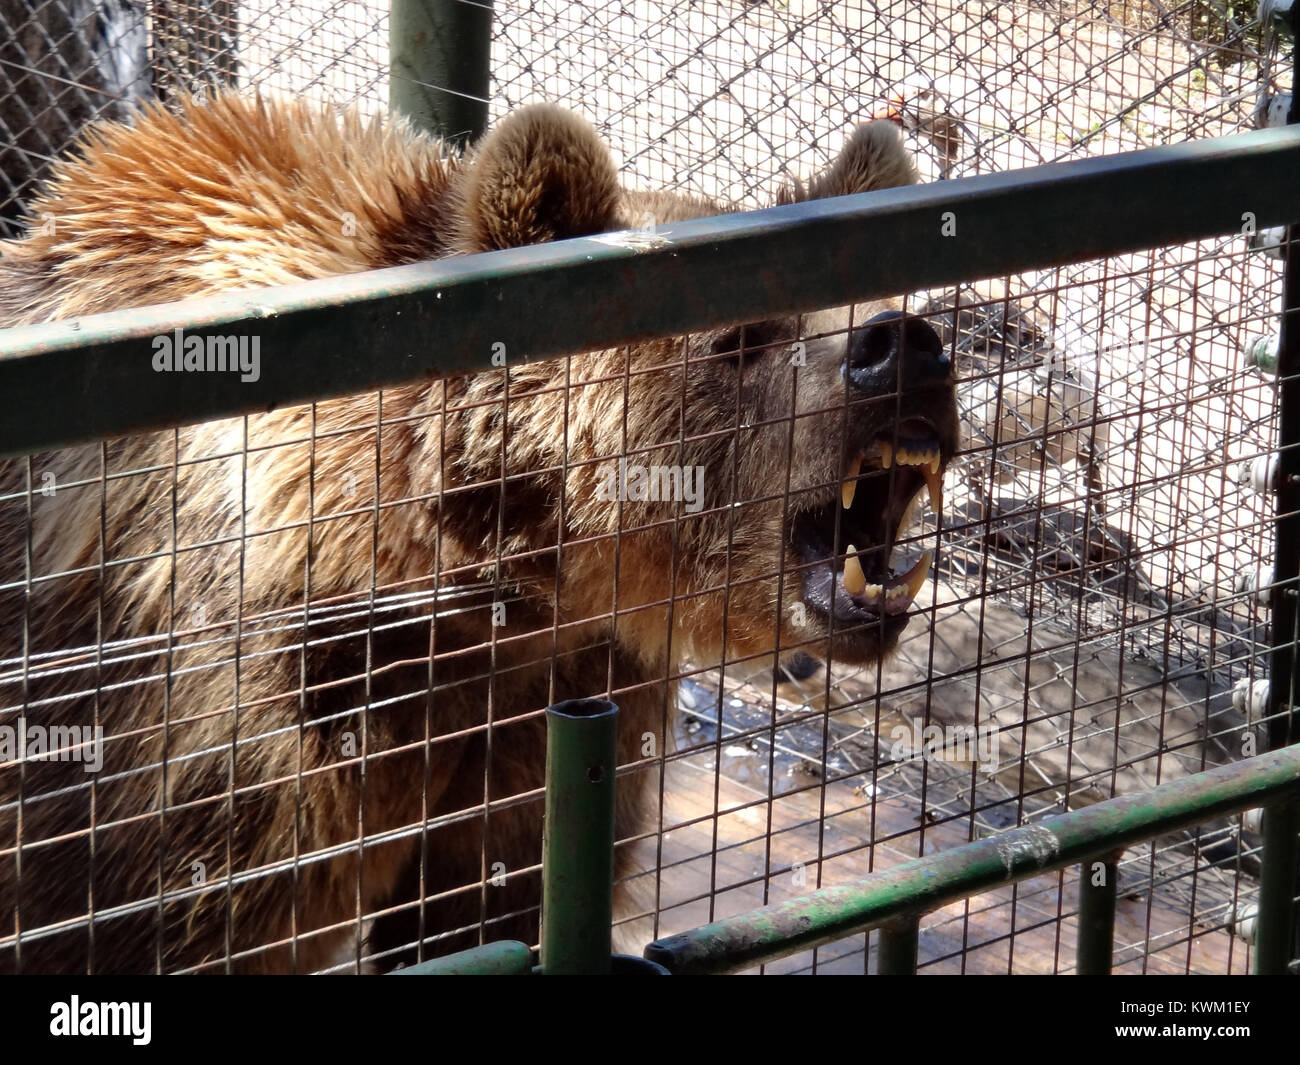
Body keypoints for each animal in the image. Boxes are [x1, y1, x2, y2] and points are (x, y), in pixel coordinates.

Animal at [0, 92, 959, 973]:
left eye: (875, 297)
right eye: (742, 334)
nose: (901, 348)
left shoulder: (556, 695)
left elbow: (491, 907)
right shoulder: (209, 713)